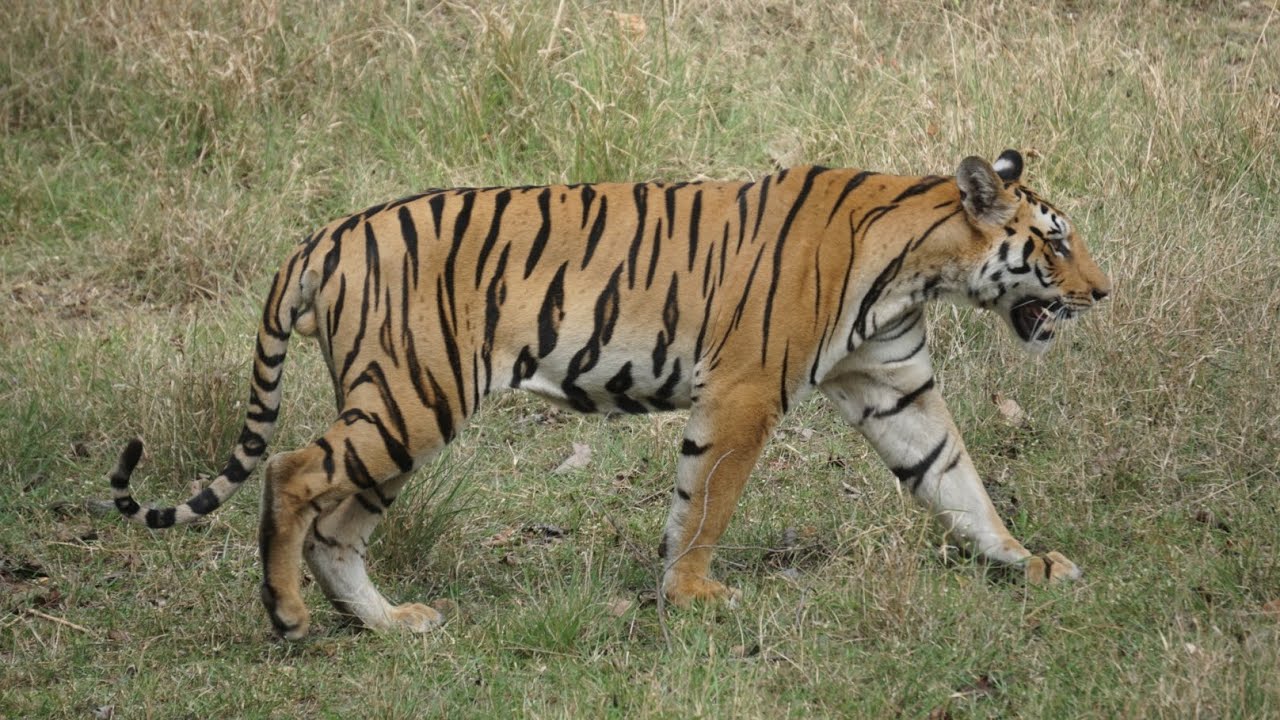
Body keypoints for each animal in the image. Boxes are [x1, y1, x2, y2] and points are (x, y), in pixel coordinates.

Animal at [108, 149, 1111, 640]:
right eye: (1055, 242)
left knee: (336, 526)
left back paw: (390, 624)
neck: (918, 268)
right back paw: (286, 619)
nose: (1103, 293)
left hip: (400, 416)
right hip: (410, 397)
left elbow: (956, 480)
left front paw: (1026, 562)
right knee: (289, 473)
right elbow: (707, 501)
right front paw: (695, 595)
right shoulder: (746, 391)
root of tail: (324, 233)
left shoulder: (892, 387)